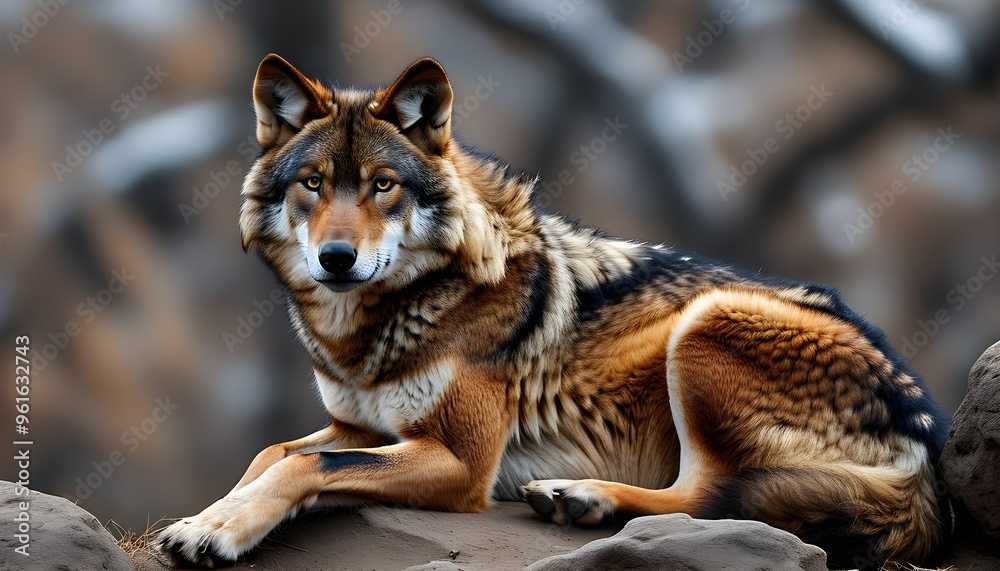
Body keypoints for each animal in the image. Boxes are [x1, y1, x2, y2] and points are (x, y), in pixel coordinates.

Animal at [158, 54, 950, 569]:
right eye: (314, 184)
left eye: (383, 185)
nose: (336, 259)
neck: (379, 324)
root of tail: (926, 437)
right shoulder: (362, 426)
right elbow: (272, 454)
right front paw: (205, 517)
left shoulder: (461, 463)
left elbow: (307, 462)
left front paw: (219, 532)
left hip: (708, 319)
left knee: (711, 498)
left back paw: (580, 495)